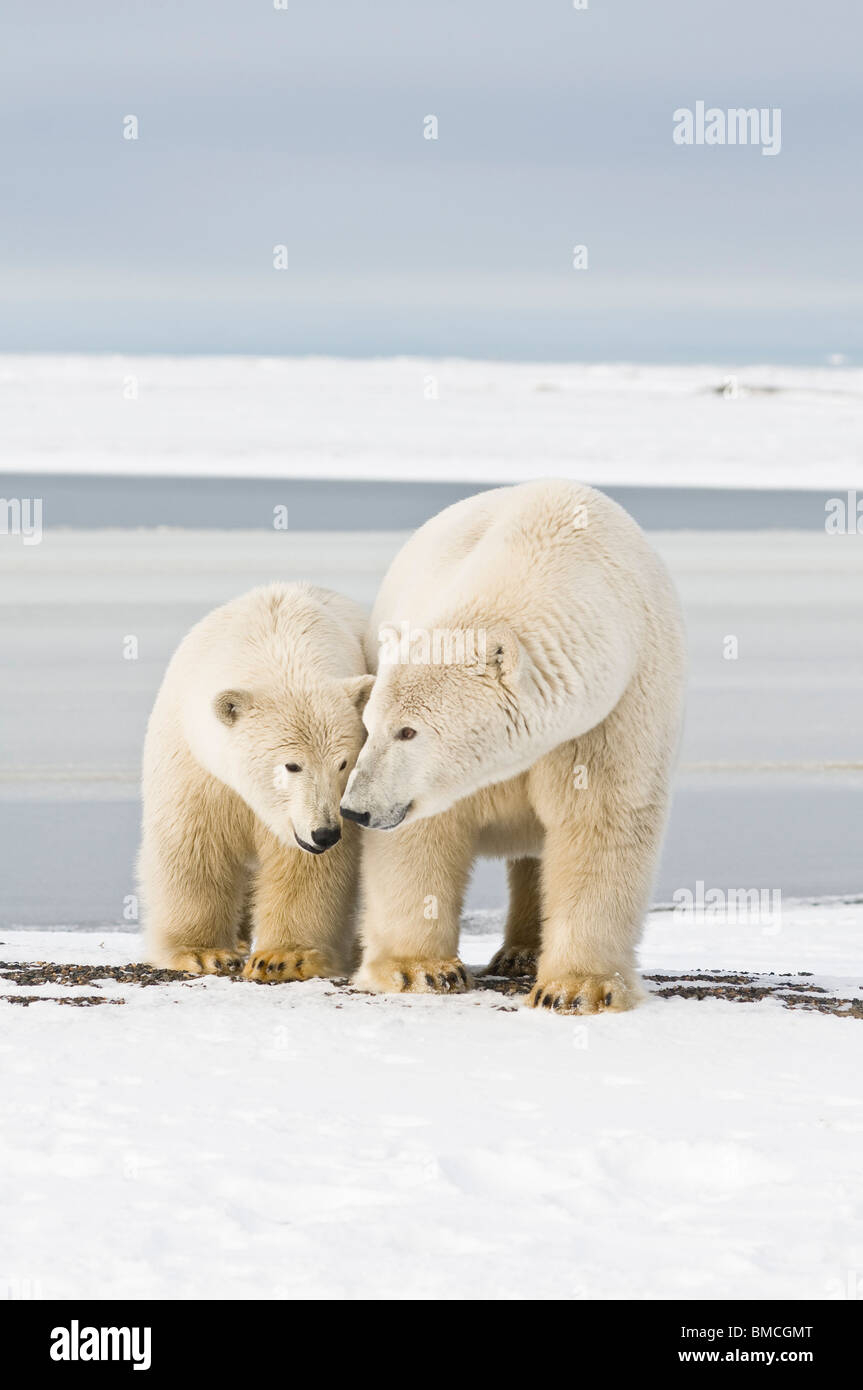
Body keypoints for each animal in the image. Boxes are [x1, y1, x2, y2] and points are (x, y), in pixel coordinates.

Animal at [139, 582, 374, 981]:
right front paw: (202, 953)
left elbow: (306, 866)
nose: (324, 833)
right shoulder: (196, 763)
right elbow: (193, 844)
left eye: (343, 763)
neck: (277, 640)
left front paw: (283, 957)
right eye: (291, 765)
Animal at [340, 480, 686, 1014]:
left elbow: (603, 818)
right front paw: (419, 969)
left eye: (408, 731)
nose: (355, 809)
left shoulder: (615, 709)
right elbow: (424, 834)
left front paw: (576, 988)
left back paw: (523, 953)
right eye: (371, 724)